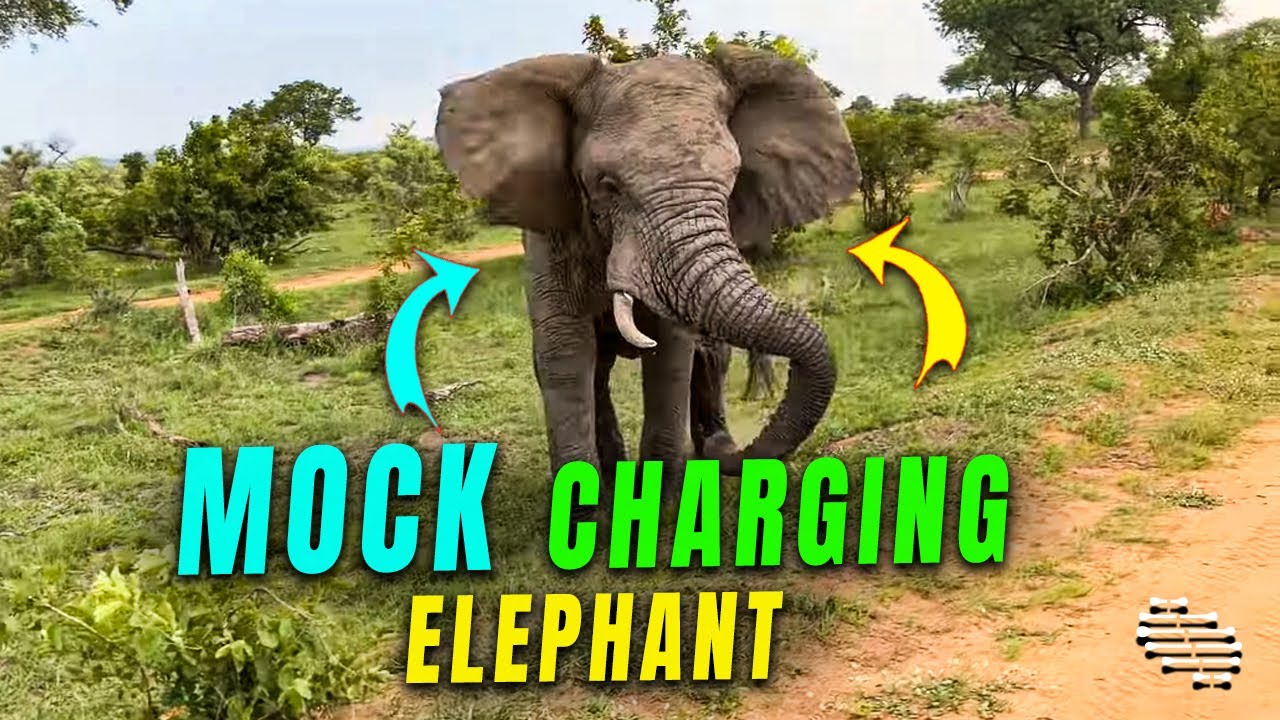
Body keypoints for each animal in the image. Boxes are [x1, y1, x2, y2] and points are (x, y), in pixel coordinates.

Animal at [433, 44, 860, 486]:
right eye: (607, 186)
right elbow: (565, 352)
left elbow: (670, 353)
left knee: (711, 355)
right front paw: (583, 498)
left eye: (735, 177)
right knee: (599, 369)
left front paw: (659, 492)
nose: (737, 452)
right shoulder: (551, 236)